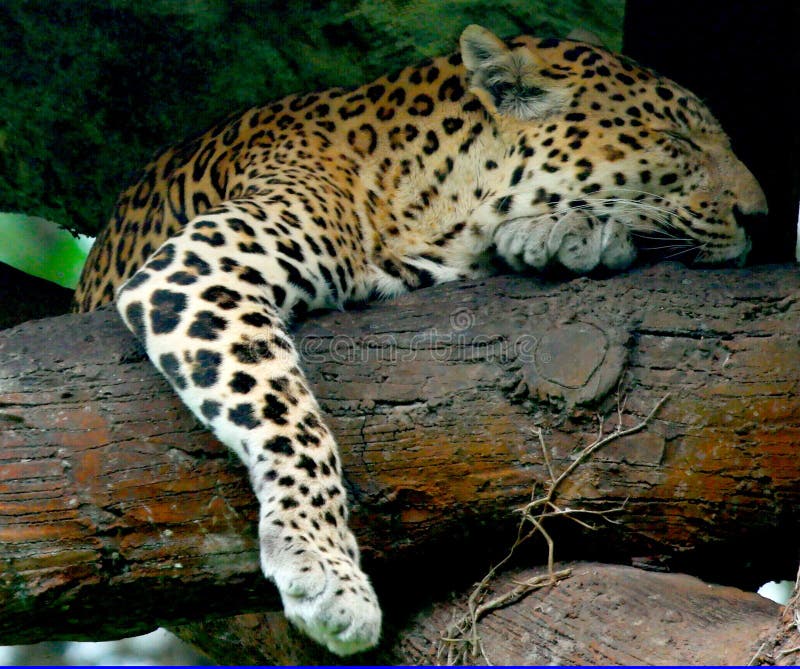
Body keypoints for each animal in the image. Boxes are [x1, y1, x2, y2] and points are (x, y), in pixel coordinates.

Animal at [73, 25, 767, 655]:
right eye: (676, 140)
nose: (758, 217)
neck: (427, 200)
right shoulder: (198, 270)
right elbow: (290, 421)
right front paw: (322, 564)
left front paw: (568, 233)